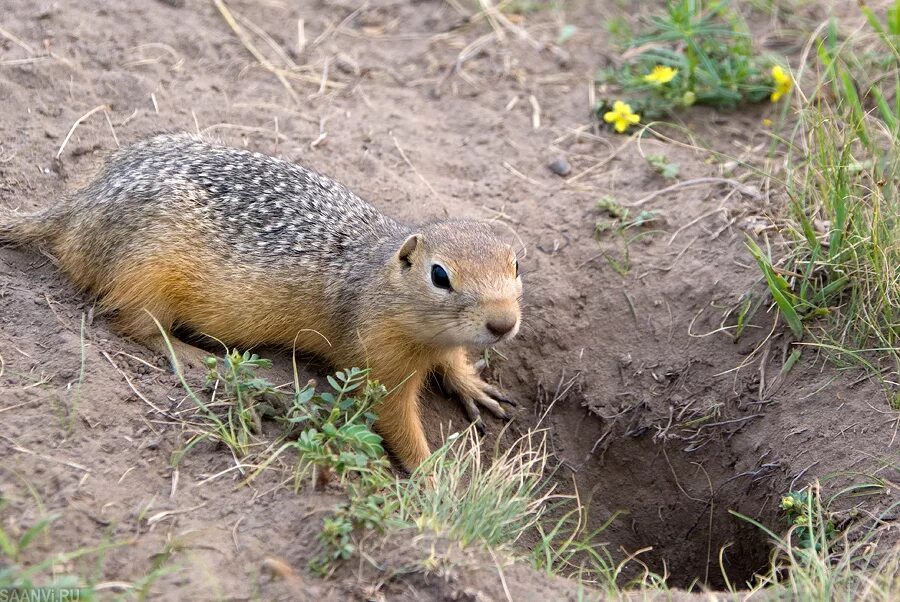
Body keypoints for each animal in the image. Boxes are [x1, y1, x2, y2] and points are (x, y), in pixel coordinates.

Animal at [0, 135, 520, 468]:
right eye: (439, 276)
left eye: (516, 265)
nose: (502, 324)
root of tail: (75, 206)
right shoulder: (378, 356)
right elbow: (394, 418)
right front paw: (435, 485)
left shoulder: (439, 342)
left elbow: (452, 360)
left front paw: (474, 385)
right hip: (144, 269)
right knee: (134, 323)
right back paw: (191, 353)